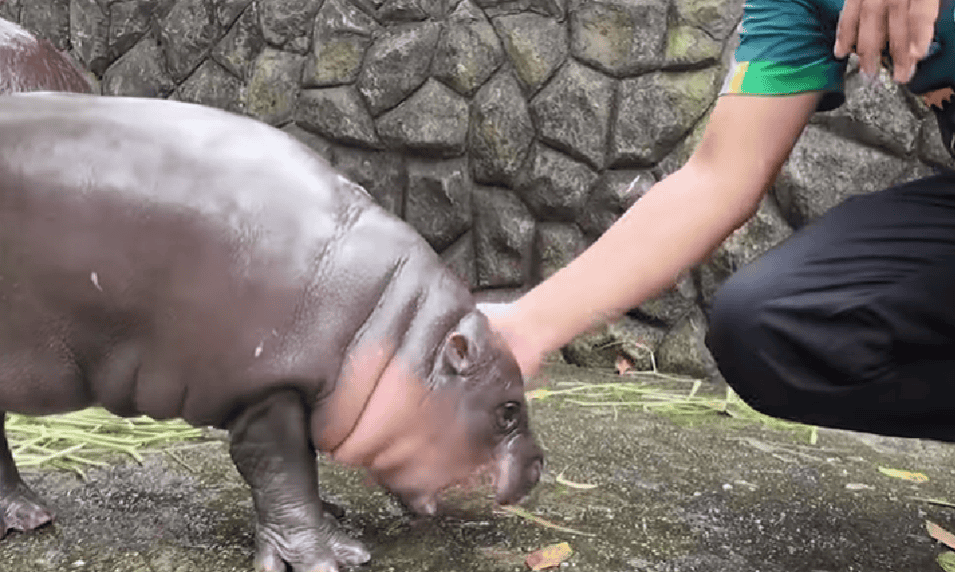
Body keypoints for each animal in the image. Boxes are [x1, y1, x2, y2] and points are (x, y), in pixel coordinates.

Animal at [0, 92, 544, 572]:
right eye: (508, 410)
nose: (539, 466)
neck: (394, 330)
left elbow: (299, 475)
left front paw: (337, 525)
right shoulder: (265, 391)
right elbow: (286, 477)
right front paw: (327, 558)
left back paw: (30, 517)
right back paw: (30, 519)